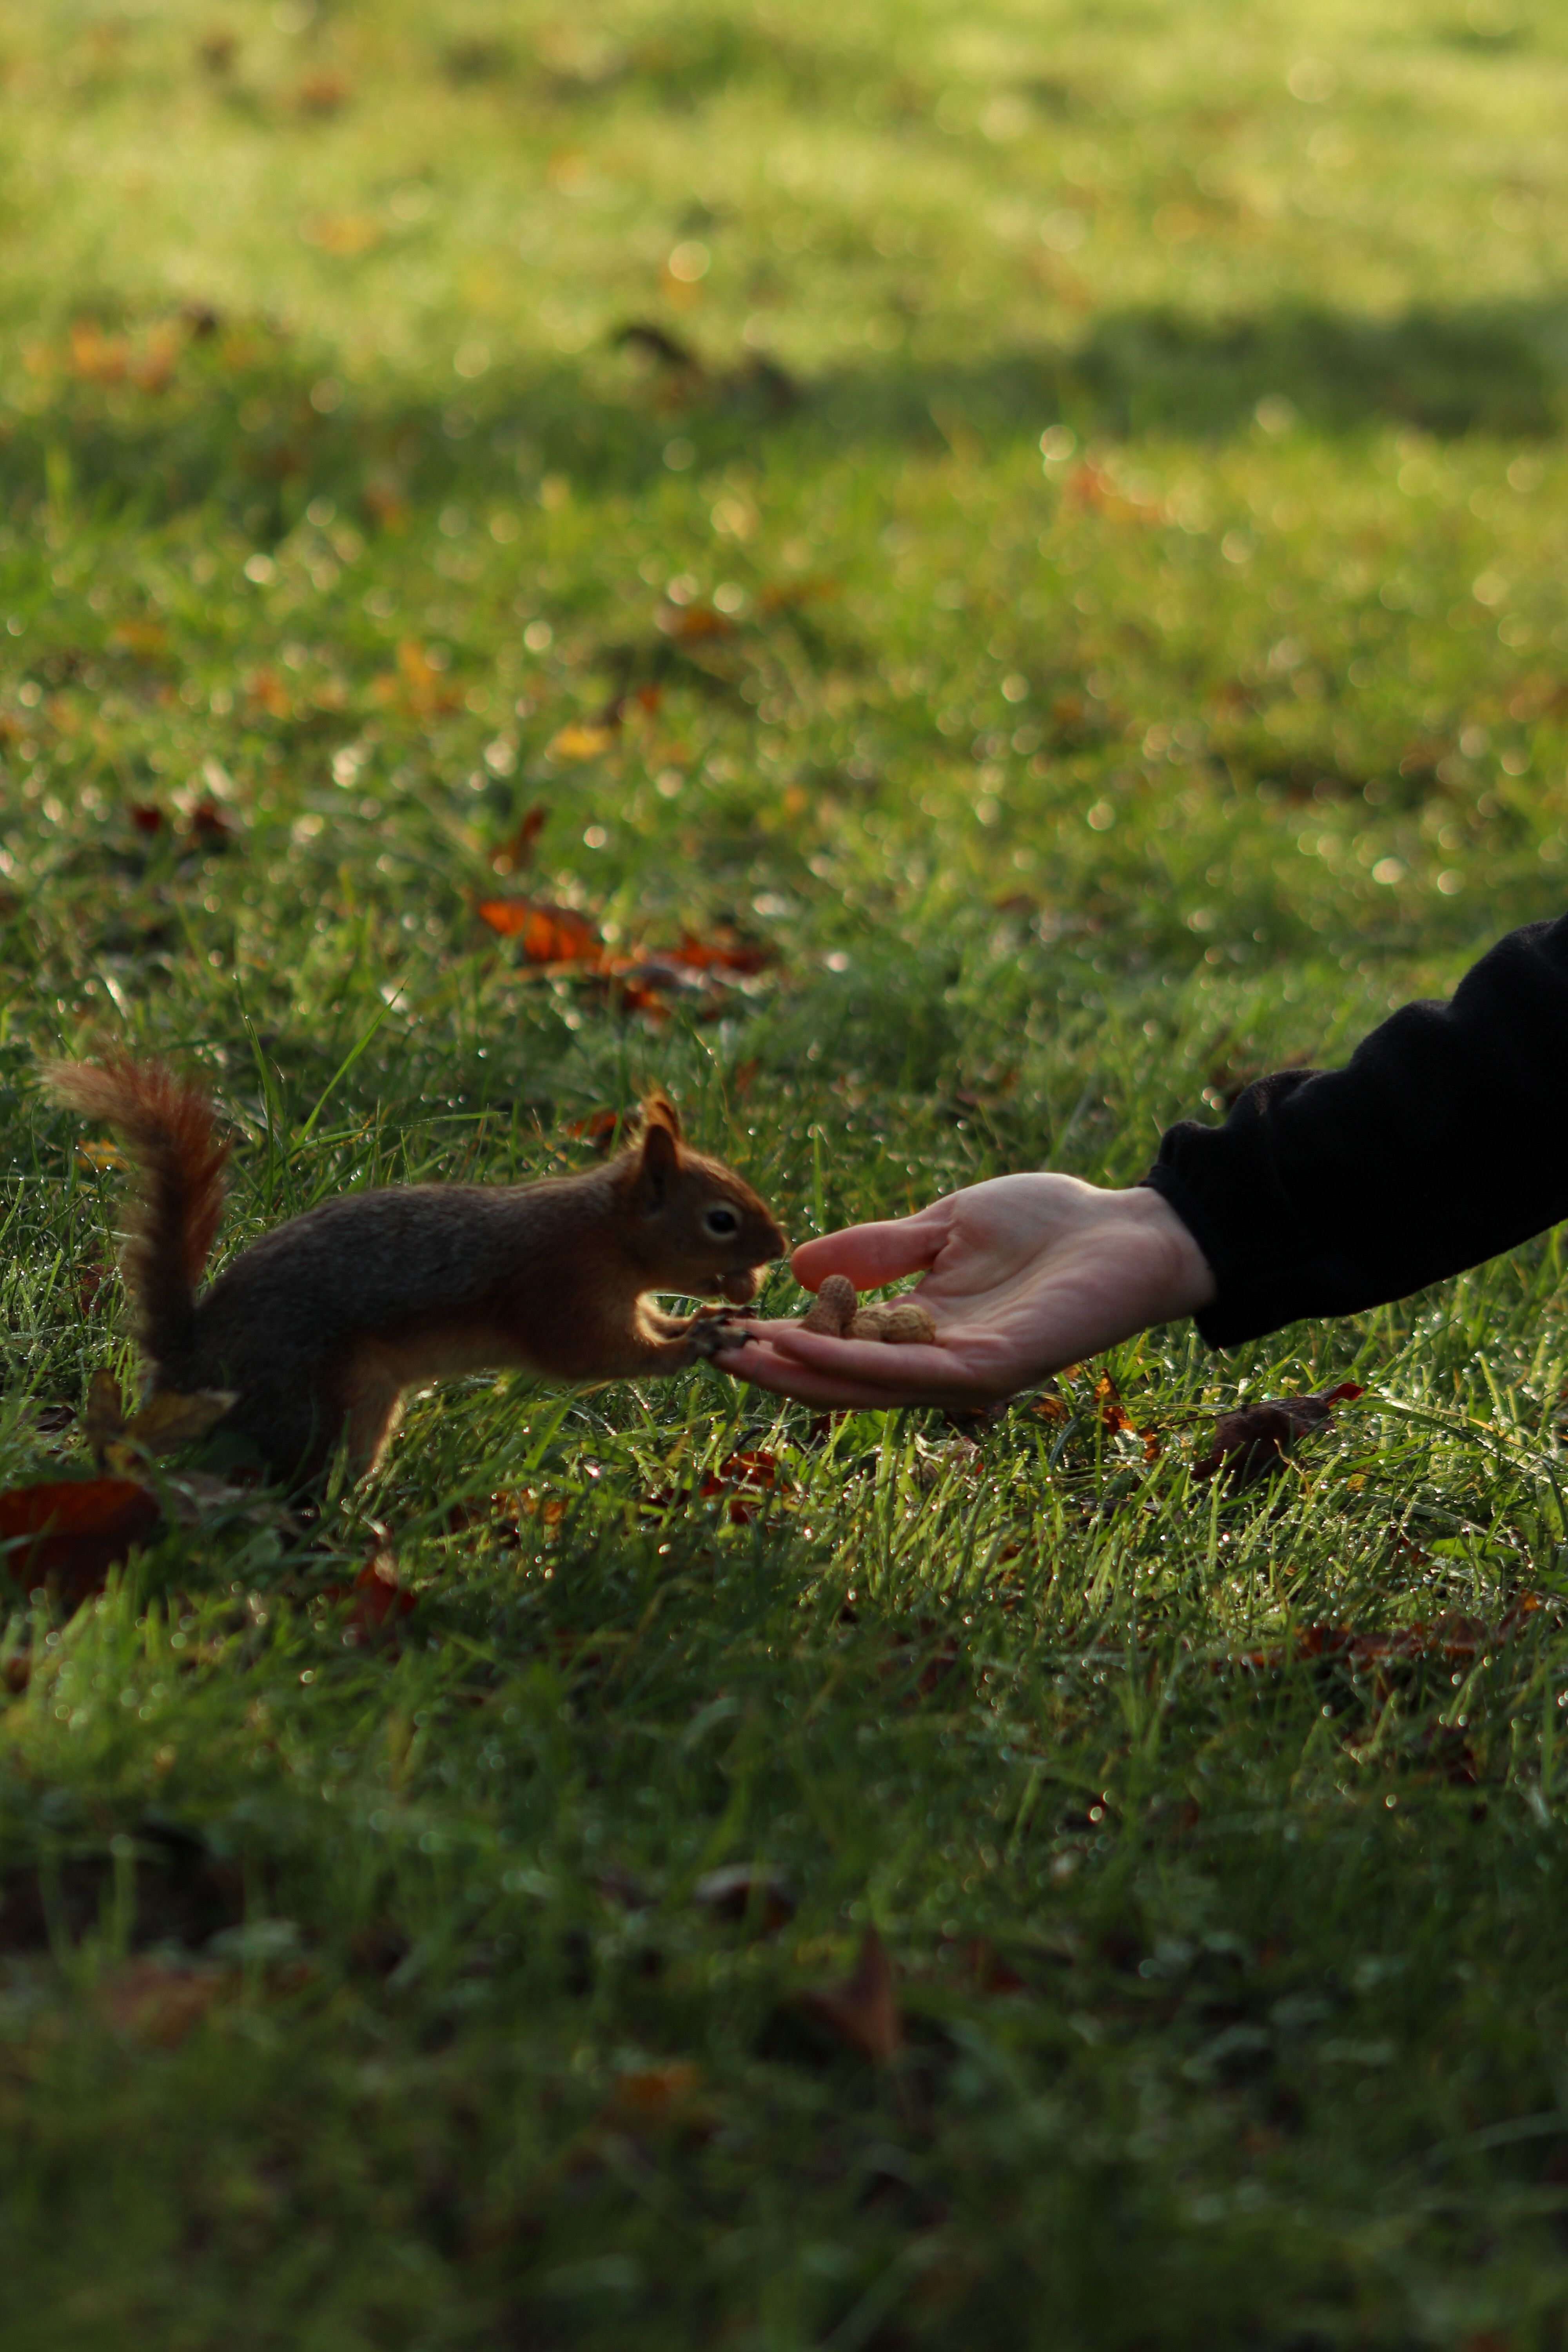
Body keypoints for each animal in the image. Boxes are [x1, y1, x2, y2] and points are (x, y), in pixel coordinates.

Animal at [45, 1056, 785, 1489]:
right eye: (722, 1220)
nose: (779, 1248)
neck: (607, 1234)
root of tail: (192, 1368)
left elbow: (651, 1319)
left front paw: (706, 1319)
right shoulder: (559, 1288)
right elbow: (599, 1356)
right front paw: (692, 1344)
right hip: (333, 1399)